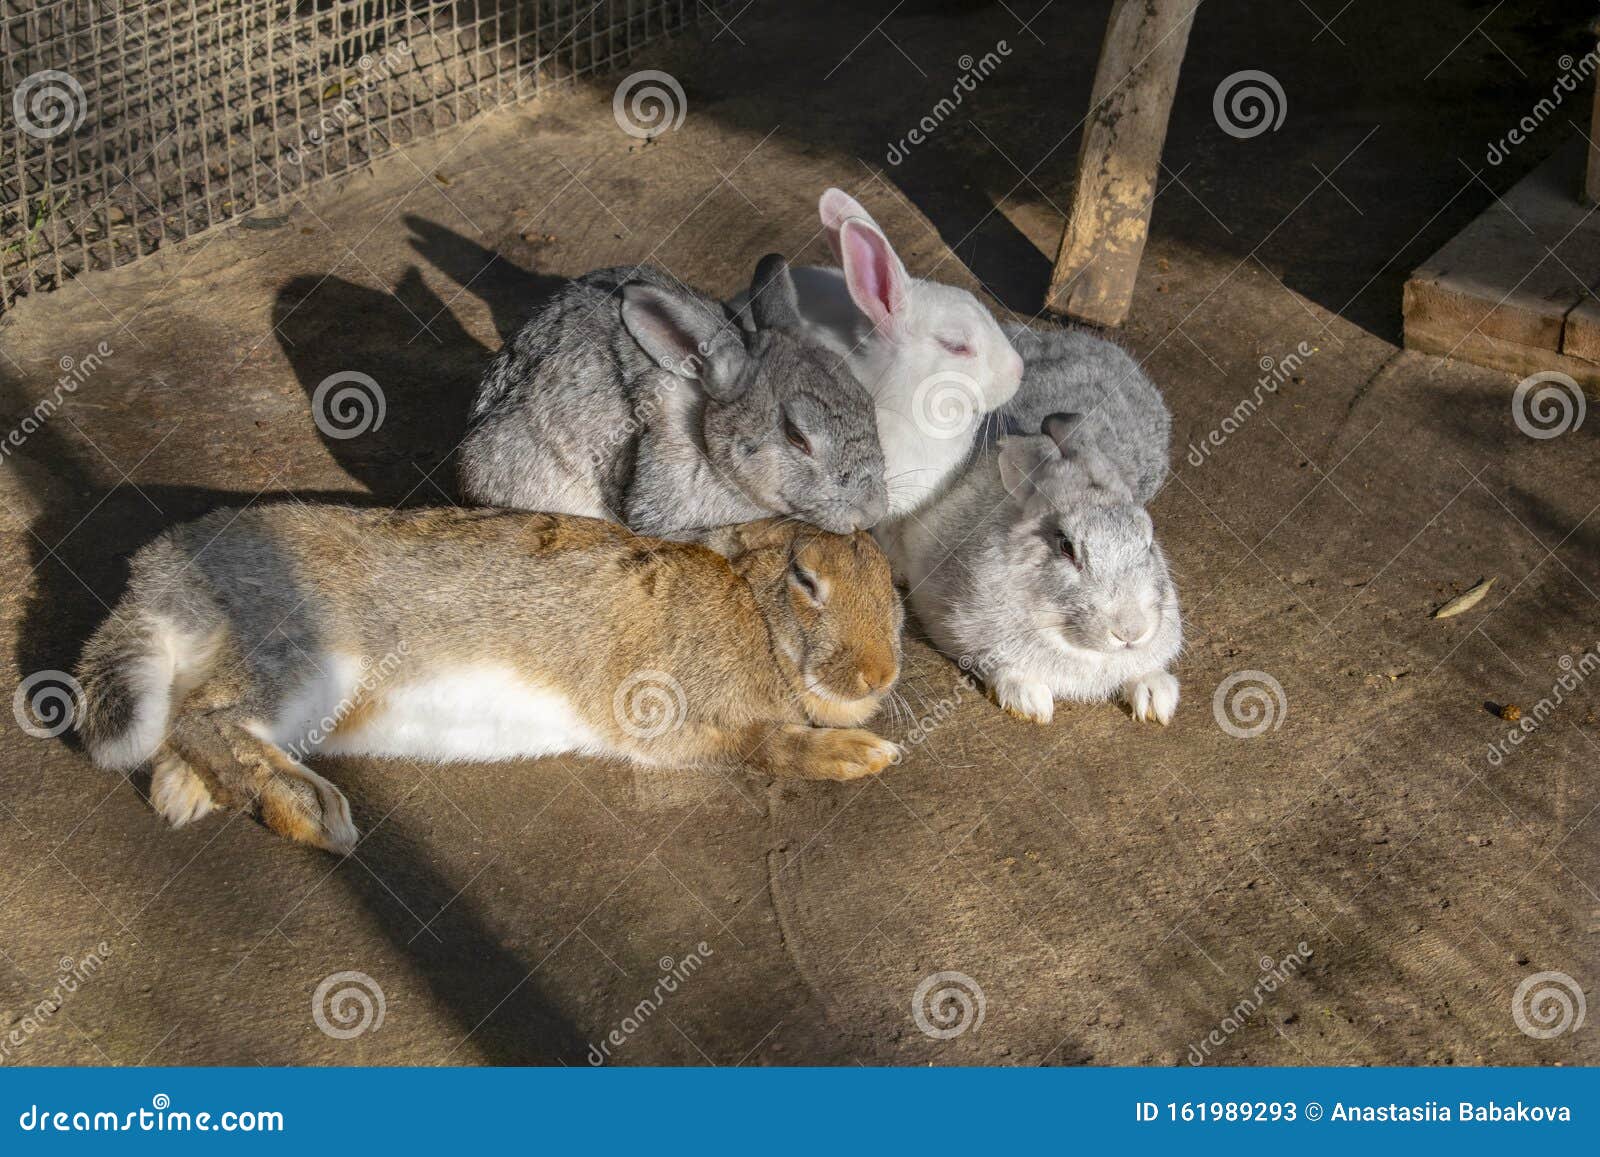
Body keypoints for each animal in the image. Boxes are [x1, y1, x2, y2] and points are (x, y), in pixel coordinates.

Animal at [74, 506, 905, 853]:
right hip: (304, 657)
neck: (757, 616)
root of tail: (164, 573)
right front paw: (862, 756)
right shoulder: (673, 719)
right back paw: (311, 813)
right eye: (806, 579)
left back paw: (180, 793)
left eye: (891, 583)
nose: (881, 670)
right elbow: (765, 745)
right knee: (206, 717)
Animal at [889, 412, 1181, 726]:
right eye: (1066, 546)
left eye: (1149, 540)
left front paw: (1157, 697)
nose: (1131, 631)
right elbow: (1000, 666)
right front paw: (1030, 702)